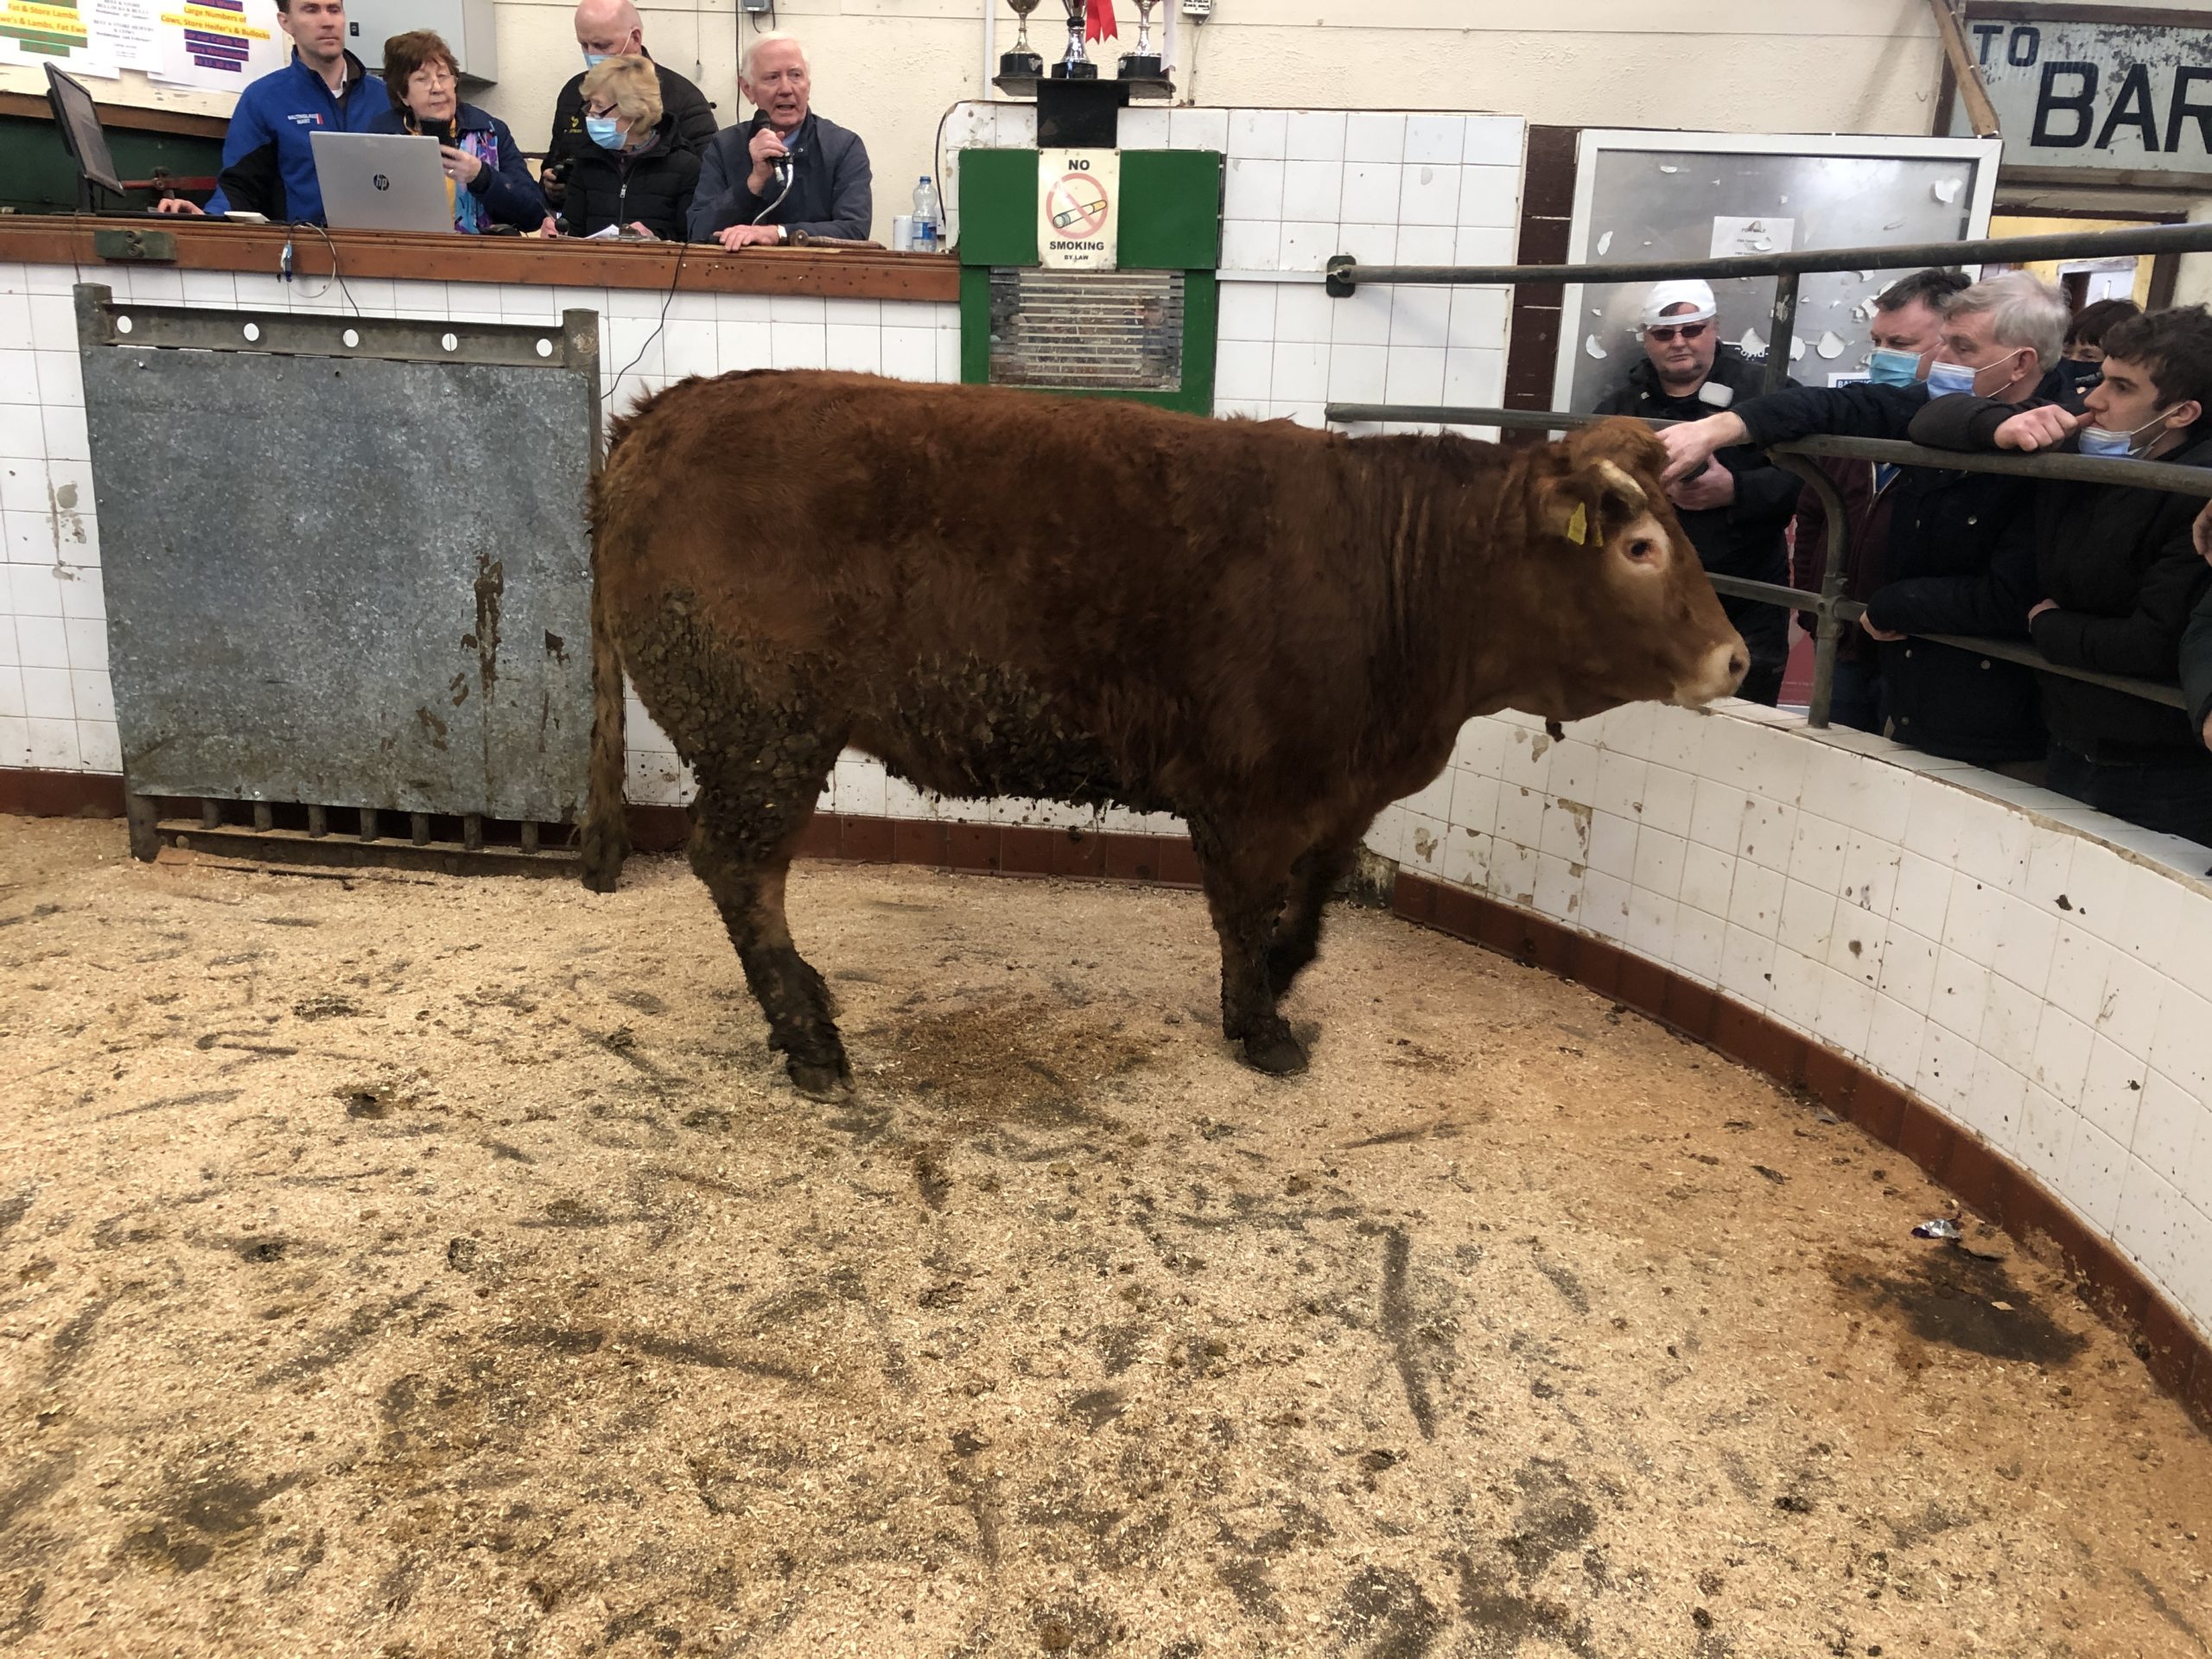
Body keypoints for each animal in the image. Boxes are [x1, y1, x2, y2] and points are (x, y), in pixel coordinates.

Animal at [580, 371, 1746, 1098]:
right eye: (1638, 546)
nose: (1734, 659)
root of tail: (660, 415)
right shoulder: (1249, 793)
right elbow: (1241, 908)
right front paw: (1261, 1025)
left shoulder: (1338, 792)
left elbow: (1312, 898)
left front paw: (1282, 975)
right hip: (762, 732)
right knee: (741, 869)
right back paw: (809, 1037)